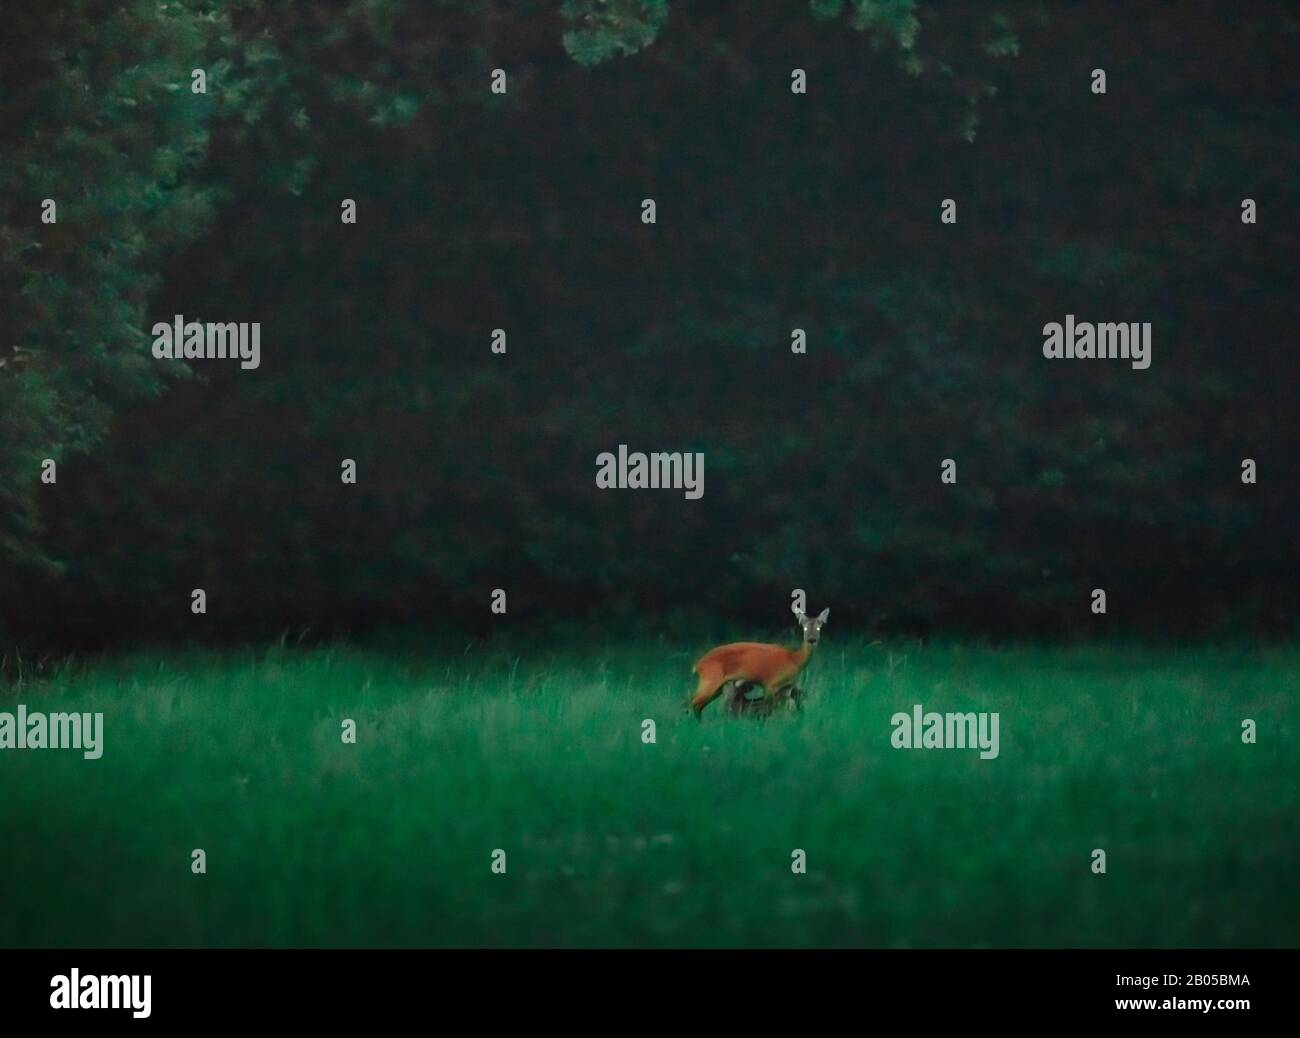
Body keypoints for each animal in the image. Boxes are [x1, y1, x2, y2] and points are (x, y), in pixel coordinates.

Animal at [689, 608, 829, 717]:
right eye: (804, 628)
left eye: (819, 627)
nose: (812, 640)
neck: (794, 659)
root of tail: (698, 665)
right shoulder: (770, 684)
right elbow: (771, 706)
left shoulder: (787, 686)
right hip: (710, 681)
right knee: (692, 704)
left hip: (716, 687)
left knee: (697, 705)